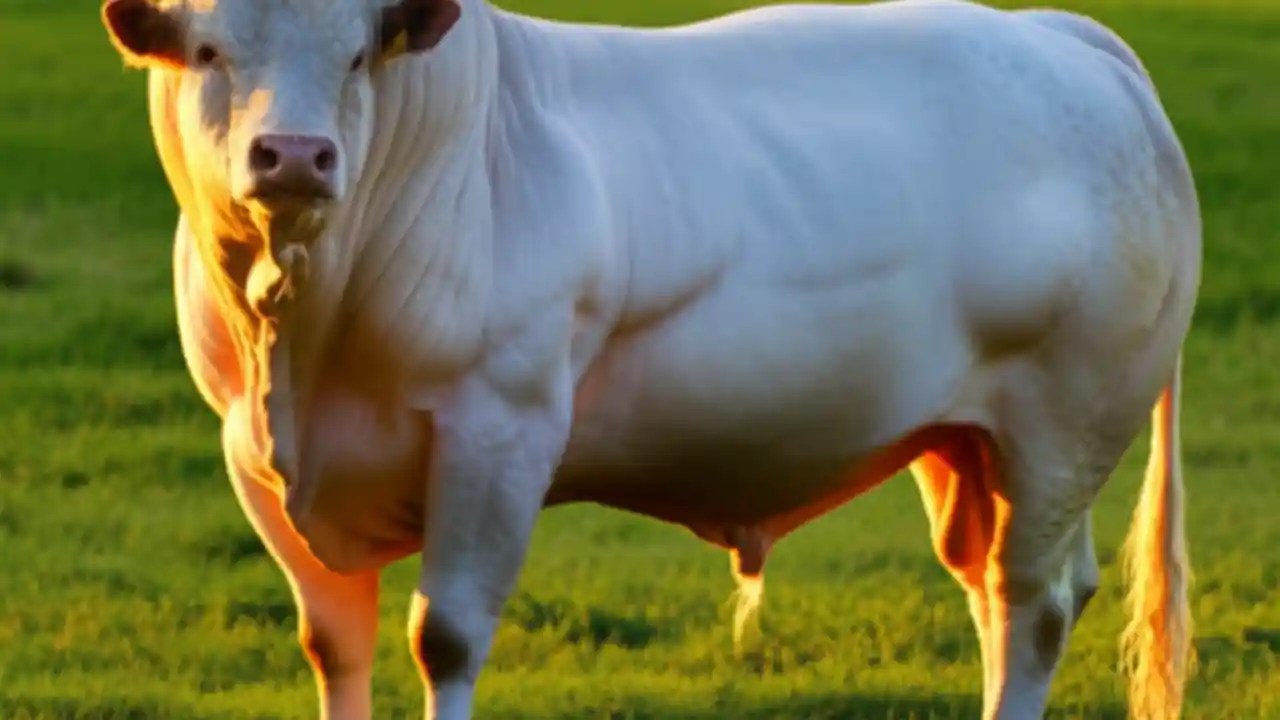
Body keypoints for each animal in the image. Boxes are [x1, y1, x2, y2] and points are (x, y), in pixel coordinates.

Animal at [100, 0, 1201, 717]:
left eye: (362, 52)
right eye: (208, 49)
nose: (294, 156)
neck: (306, 339)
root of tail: (1061, 33)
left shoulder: (498, 431)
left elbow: (443, 635)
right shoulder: (249, 454)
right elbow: (334, 645)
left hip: (1061, 426)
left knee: (1031, 605)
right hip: (964, 446)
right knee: (995, 590)